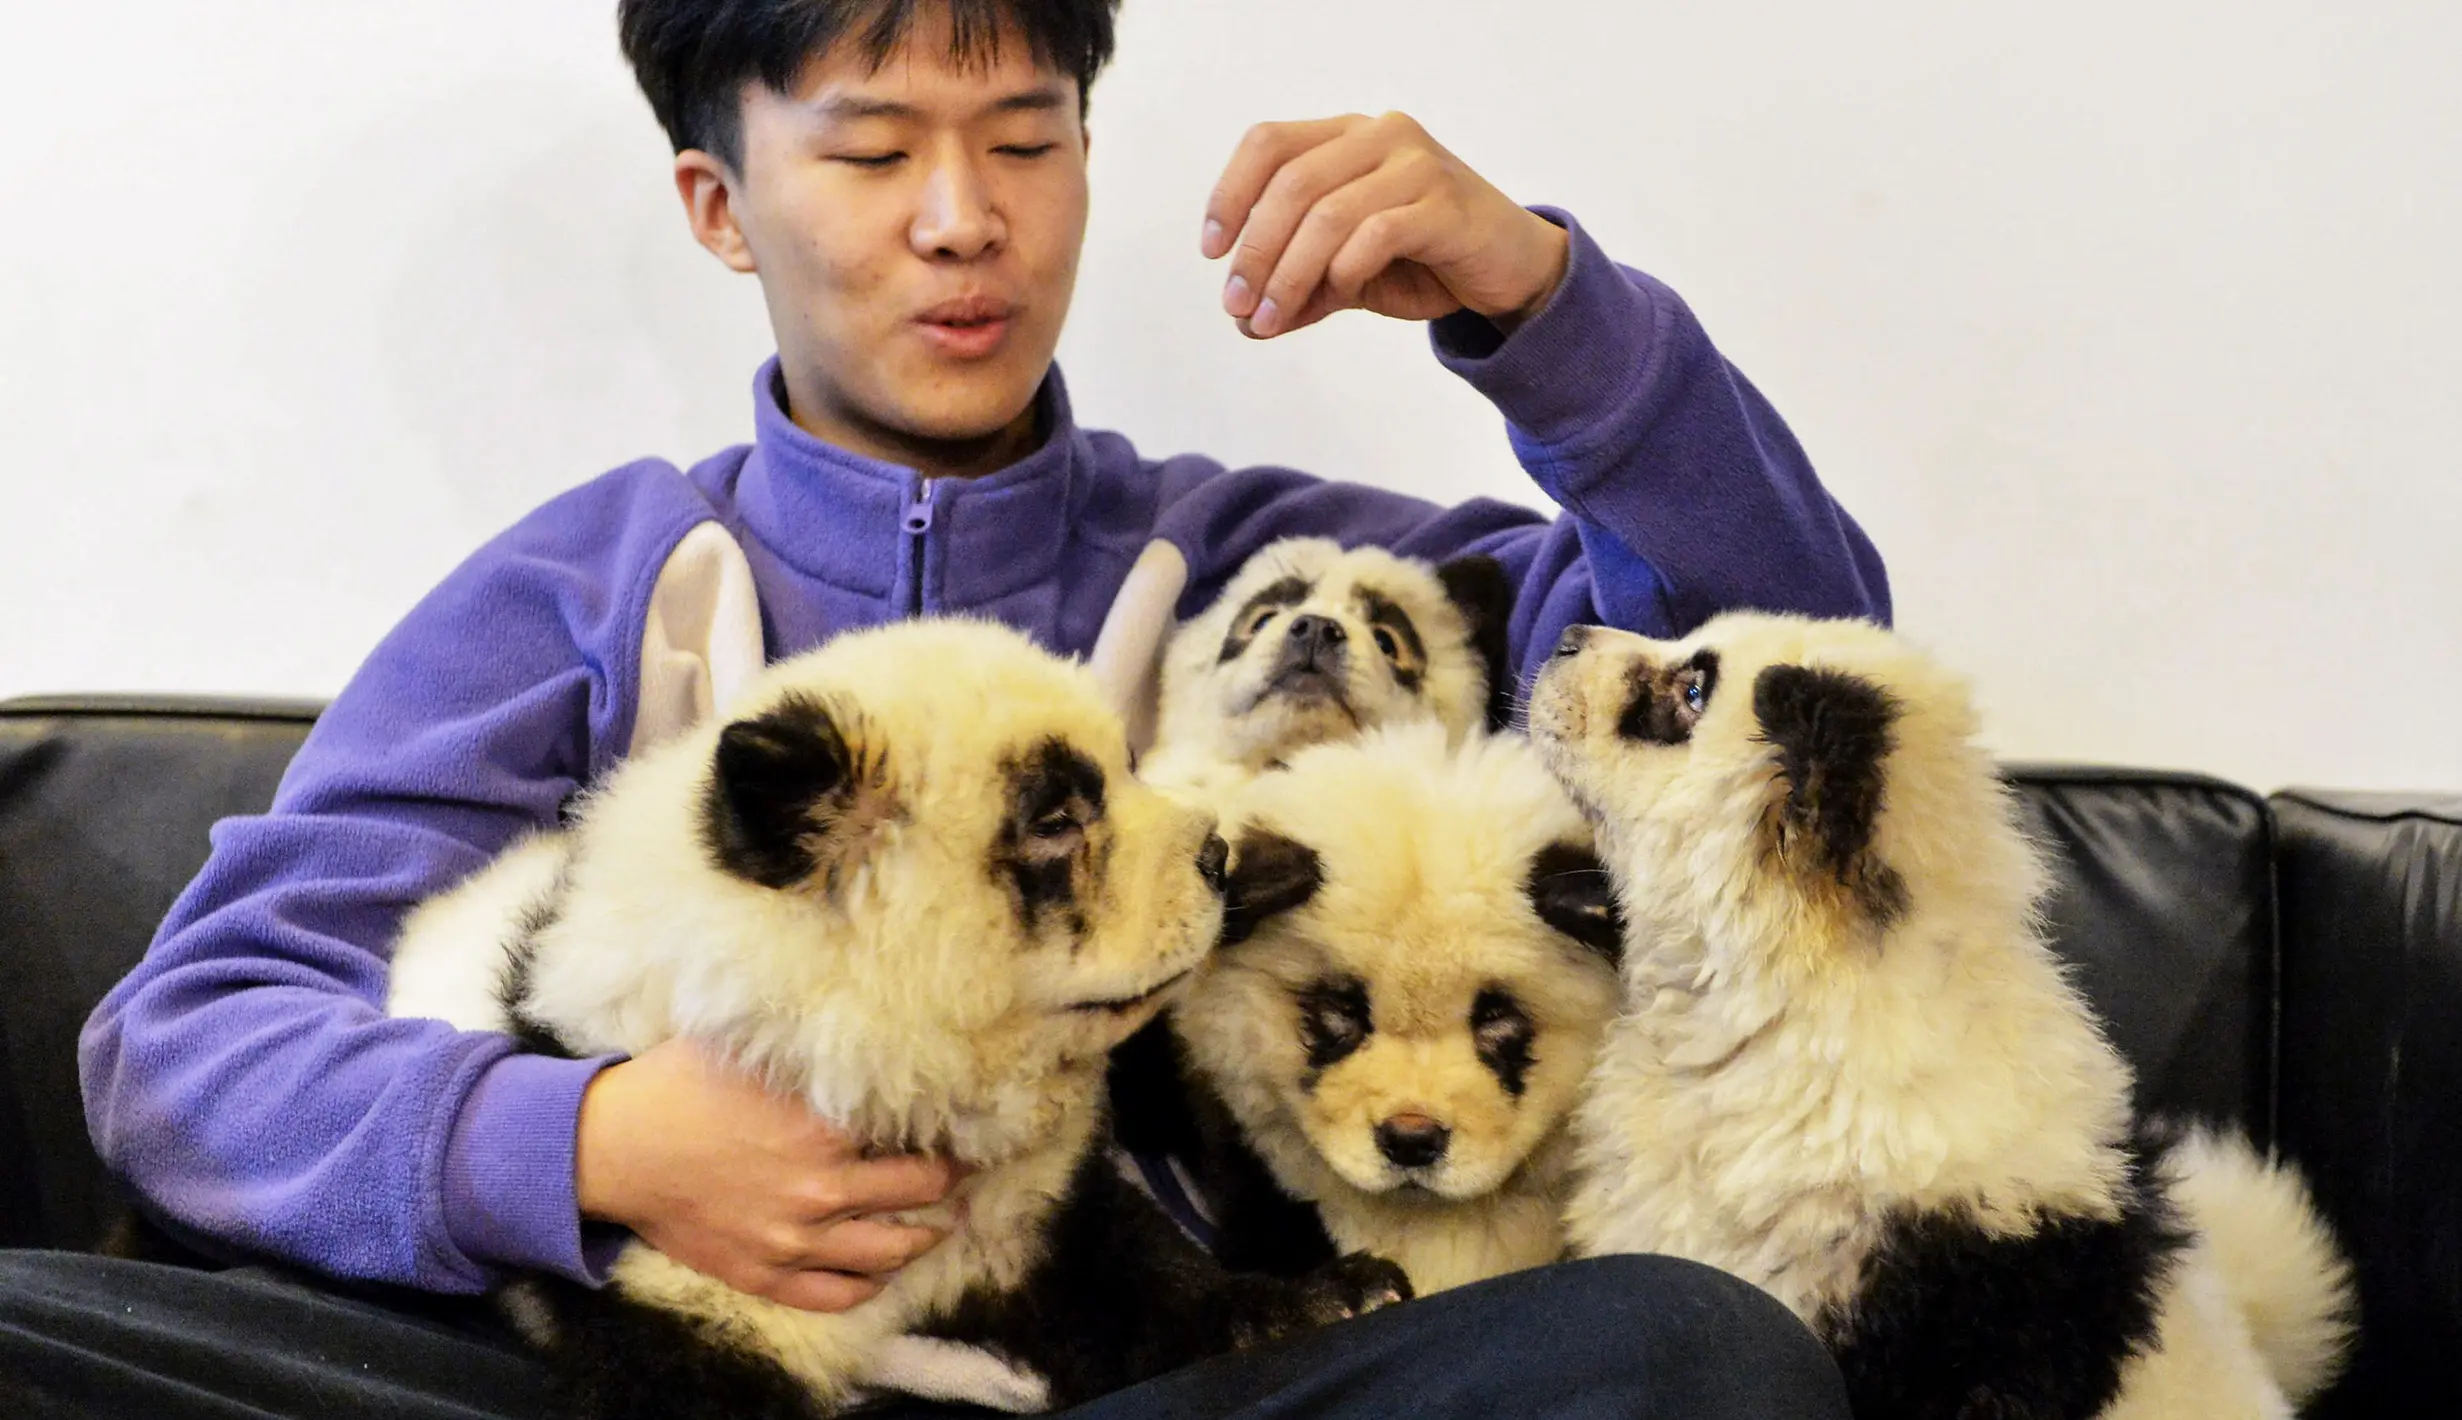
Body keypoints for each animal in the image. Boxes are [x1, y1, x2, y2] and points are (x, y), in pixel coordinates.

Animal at [385, 618, 1409, 1420]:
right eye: (1056, 819)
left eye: (1125, 766)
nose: (1216, 857)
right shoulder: (672, 1263)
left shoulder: (1027, 1207)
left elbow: (1140, 1276)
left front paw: (1322, 1300)